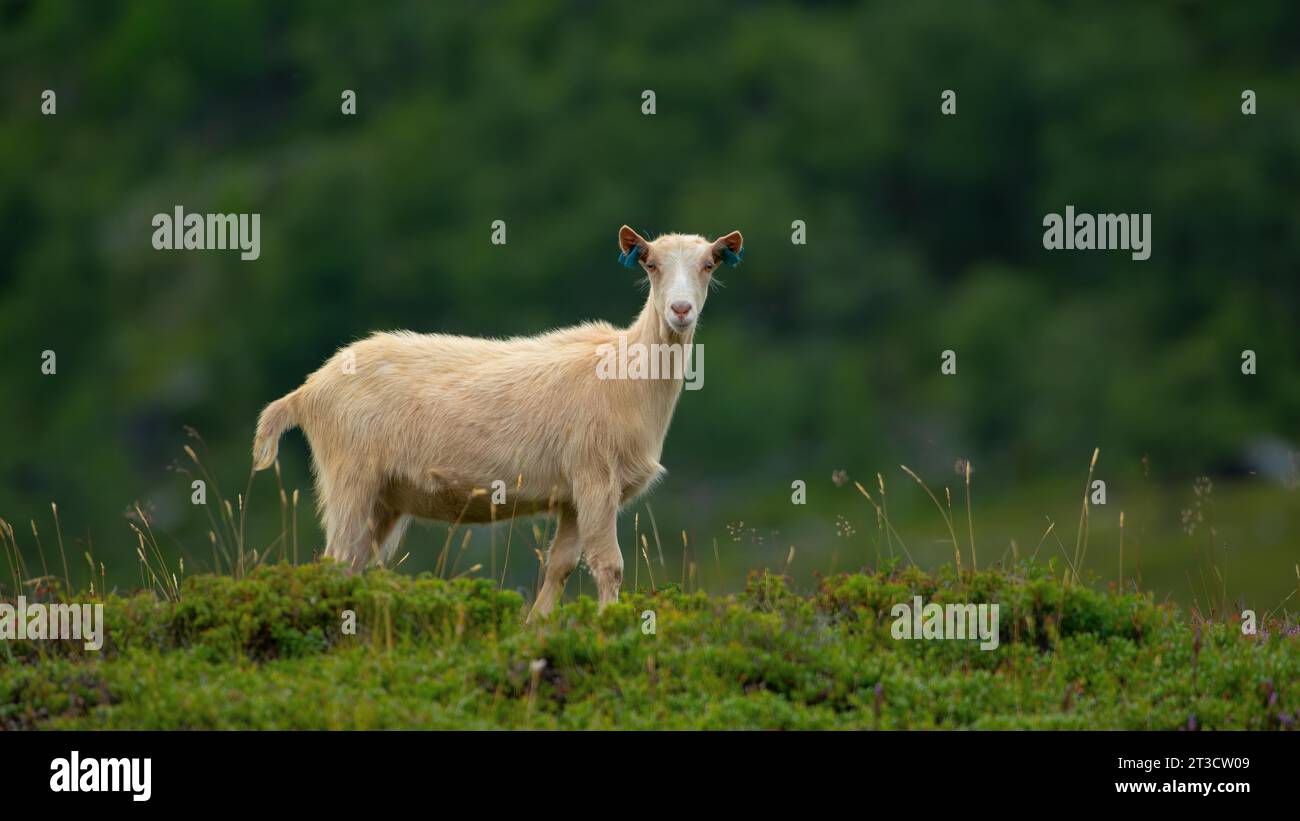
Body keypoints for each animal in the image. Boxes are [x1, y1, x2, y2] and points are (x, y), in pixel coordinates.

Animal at [252, 225, 743, 621]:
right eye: (651, 264)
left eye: (708, 264)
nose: (681, 310)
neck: (628, 375)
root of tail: (308, 390)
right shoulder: (594, 478)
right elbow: (609, 566)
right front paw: (610, 626)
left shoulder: (571, 495)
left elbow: (561, 566)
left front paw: (537, 629)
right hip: (349, 475)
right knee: (334, 560)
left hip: (384, 497)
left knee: (352, 564)